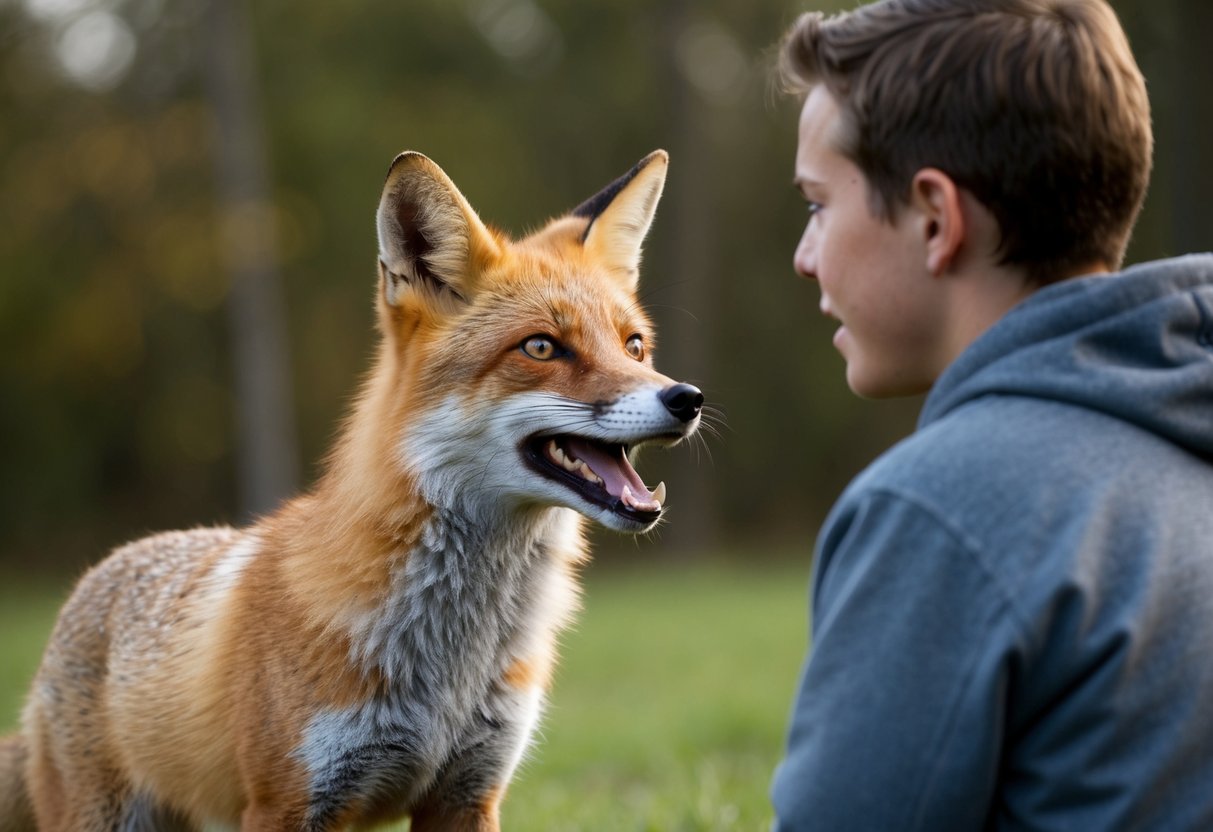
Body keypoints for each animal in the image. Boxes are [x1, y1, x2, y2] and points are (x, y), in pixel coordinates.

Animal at [0, 149, 702, 831]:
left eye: (634, 346)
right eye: (541, 347)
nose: (687, 398)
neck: (453, 663)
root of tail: (98, 575)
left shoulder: (468, 794)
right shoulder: (289, 802)